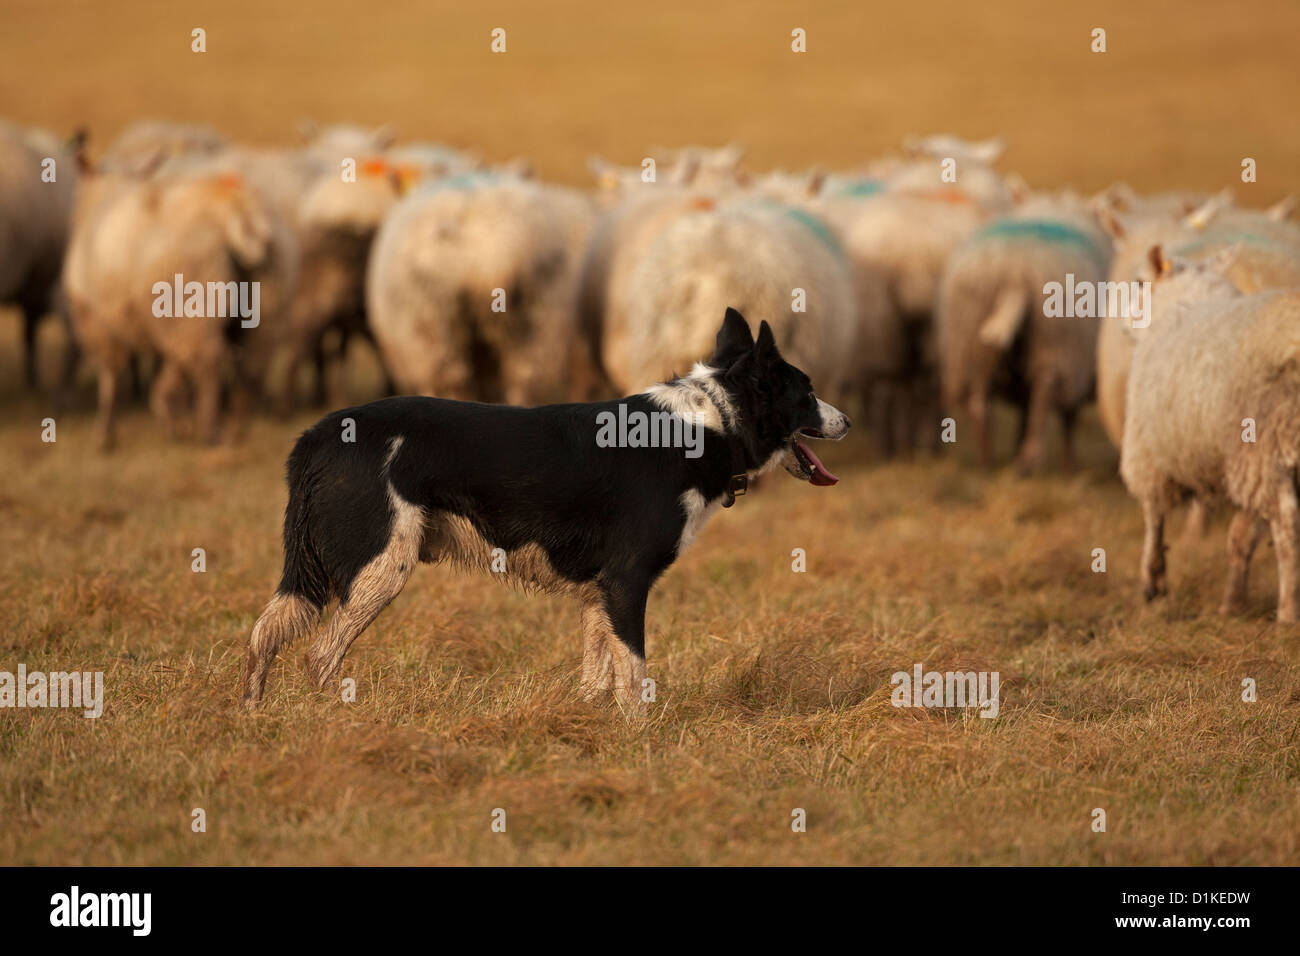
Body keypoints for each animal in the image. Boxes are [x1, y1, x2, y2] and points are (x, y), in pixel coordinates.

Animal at [63, 167, 296, 448]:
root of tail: (240, 213)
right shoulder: (171, 328)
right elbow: (174, 372)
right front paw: (176, 418)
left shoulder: (97, 323)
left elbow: (111, 379)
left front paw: (105, 435)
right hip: (264, 306)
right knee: (250, 367)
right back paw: (235, 431)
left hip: (194, 299)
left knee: (209, 361)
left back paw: (208, 431)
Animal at [936, 194, 1113, 472]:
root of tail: (1015, 274)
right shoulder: (1079, 365)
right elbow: (1067, 418)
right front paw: (1070, 465)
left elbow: (1023, 413)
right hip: (1057, 345)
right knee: (1044, 396)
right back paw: (1029, 461)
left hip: (968, 341)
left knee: (979, 401)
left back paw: (985, 461)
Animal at [1120, 248, 1300, 621]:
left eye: (1140, 282)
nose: (1123, 326)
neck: (1187, 299)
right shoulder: (1239, 463)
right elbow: (1241, 537)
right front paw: (1232, 603)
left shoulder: (1148, 454)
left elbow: (1153, 518)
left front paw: (1152, 582)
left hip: (1262, 443)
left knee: (1288, 524)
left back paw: (1289, 611)